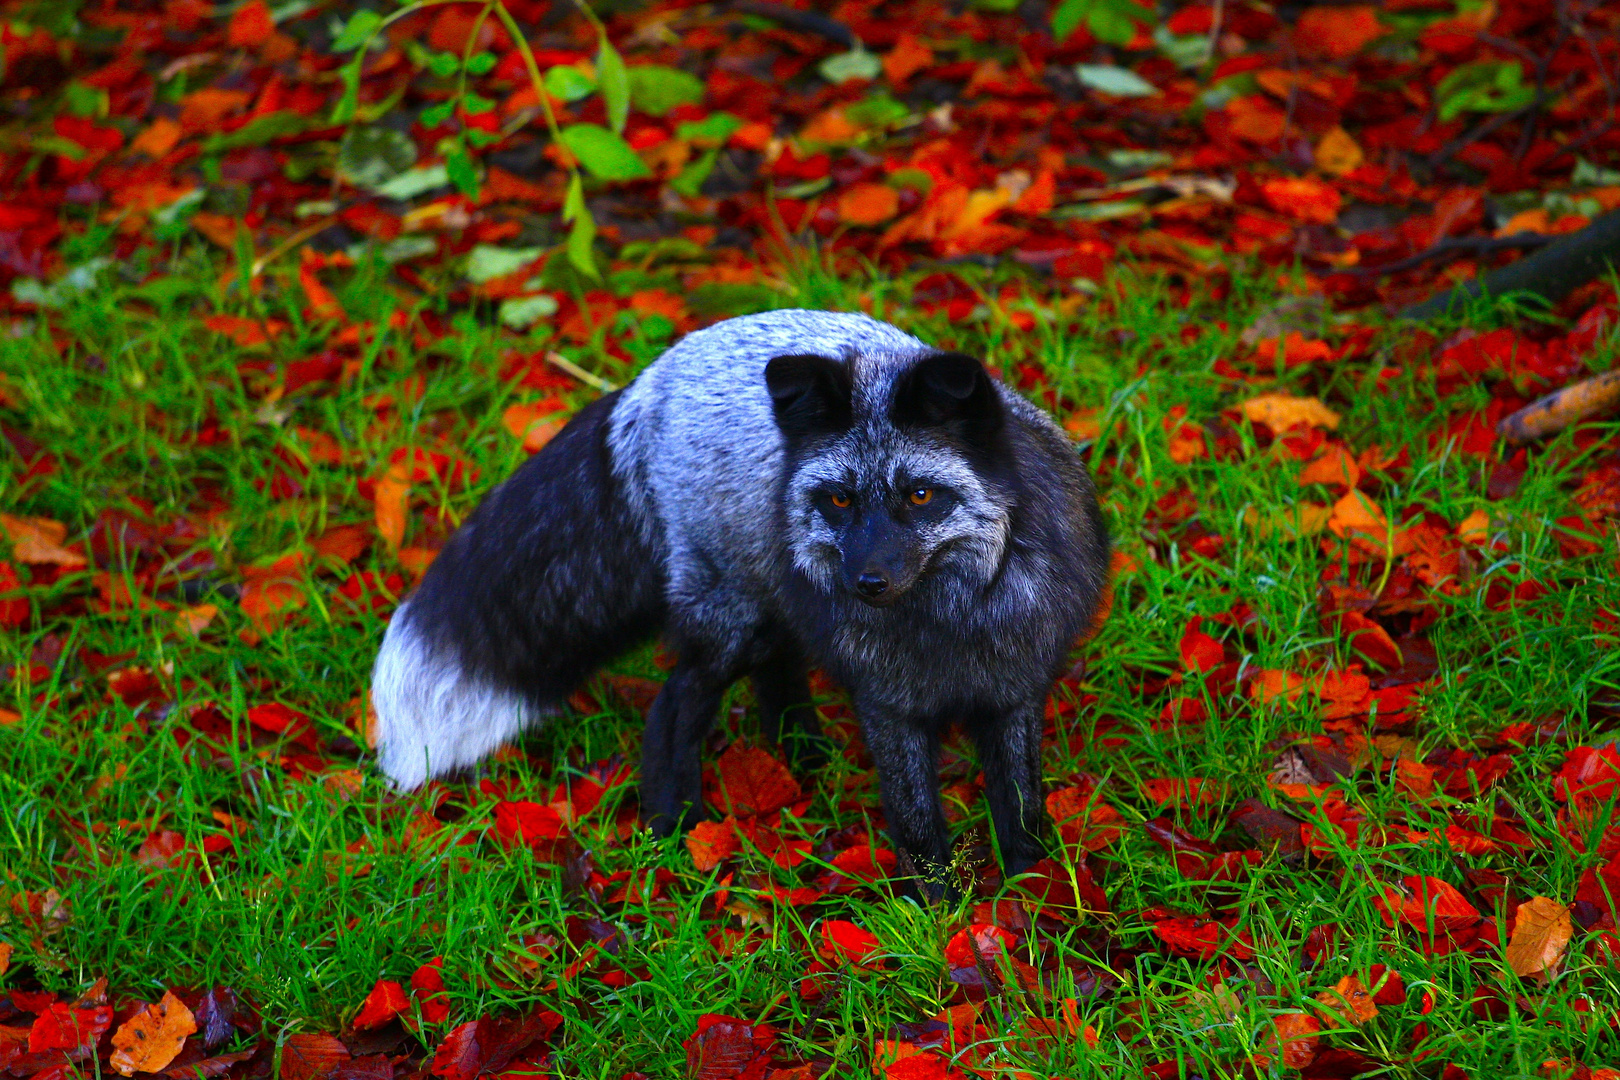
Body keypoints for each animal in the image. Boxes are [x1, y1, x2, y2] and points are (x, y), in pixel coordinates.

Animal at [369, 307, 1108, 893]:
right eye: (840, 500)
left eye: (920, 495)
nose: (864, 584)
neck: (954, 620)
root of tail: (651, 380)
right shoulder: (888, 705)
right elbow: (920, 827)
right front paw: (942, 919)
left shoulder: (1014, 690)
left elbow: (1021, 809)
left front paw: (1031, 901)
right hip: (732, 624)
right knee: (673, 707)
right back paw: (675, 827)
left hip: (768, 608)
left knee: (777, 675)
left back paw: (802, 764)